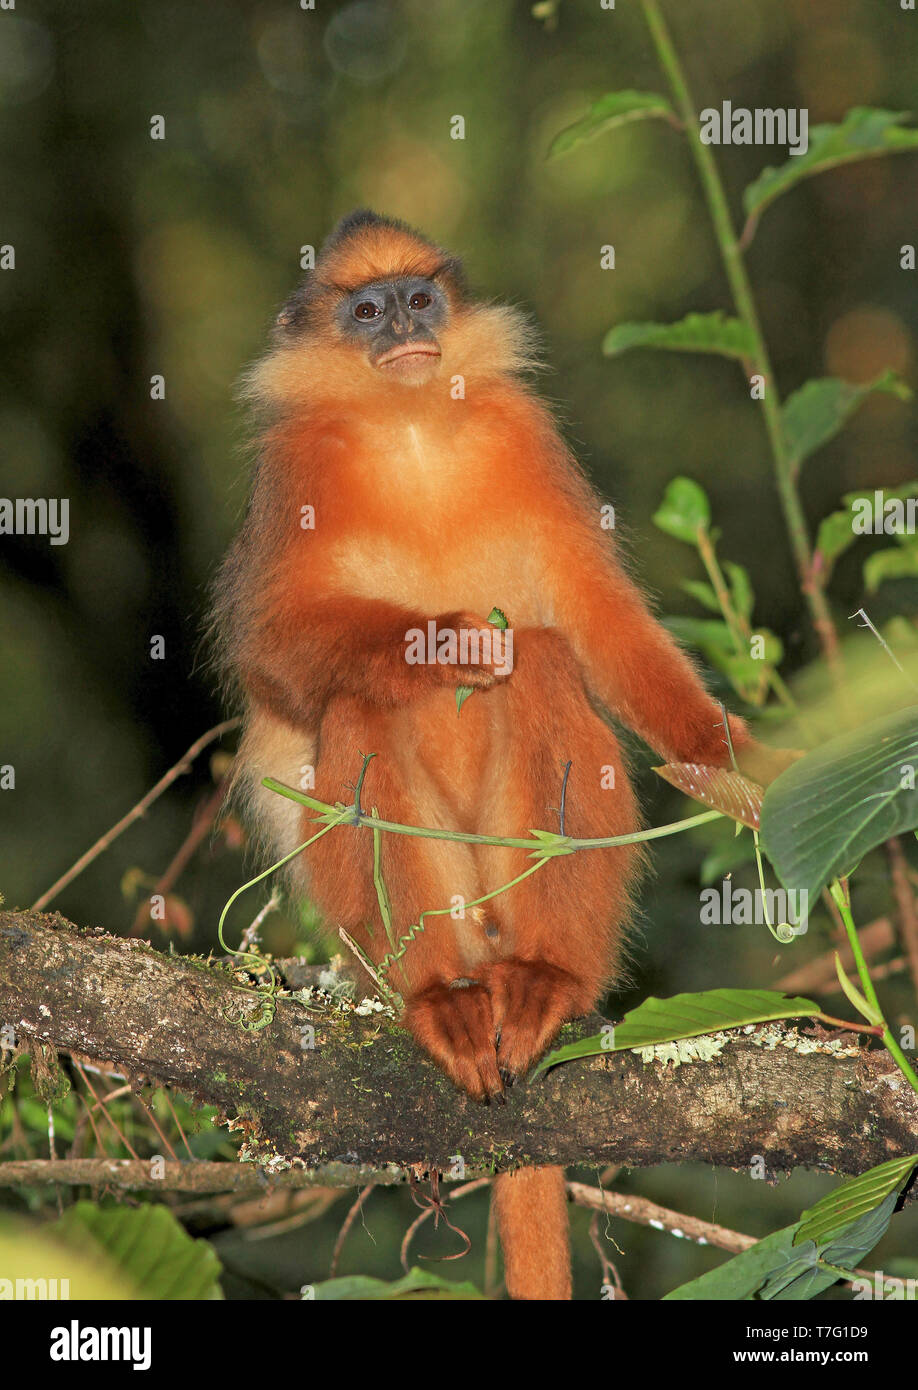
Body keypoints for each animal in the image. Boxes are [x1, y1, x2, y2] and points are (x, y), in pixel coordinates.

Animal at [212, 210, 794, 1300]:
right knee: (359, 700)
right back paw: (443, 998)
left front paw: (733, 758)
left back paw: (541, 980)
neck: (408, 426)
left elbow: (596, 619)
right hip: (420, 914)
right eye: (366, 310)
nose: (405, 326)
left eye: (419, 298)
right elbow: (273, 651)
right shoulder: (292, 468)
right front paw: (447, 641)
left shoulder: (519, 431)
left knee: (548, 663)